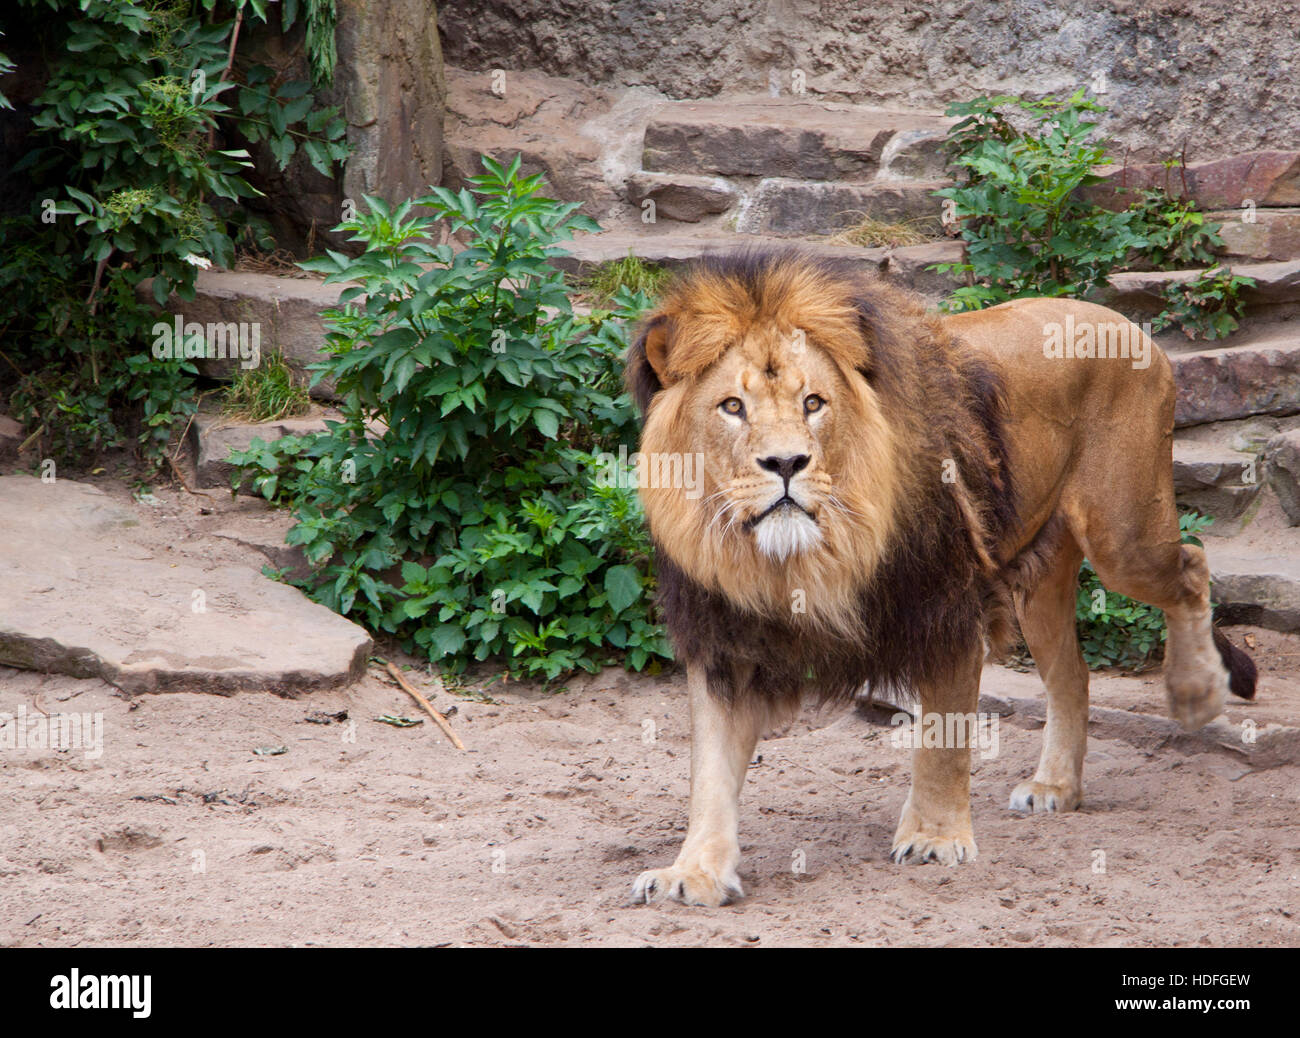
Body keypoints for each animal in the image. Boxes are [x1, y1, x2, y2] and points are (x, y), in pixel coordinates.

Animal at [623, 249, 1256, 907]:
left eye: (814, 403)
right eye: (732, 407)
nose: (786, 463)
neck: (800, 560)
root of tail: (1128, 324)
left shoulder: (948, 609)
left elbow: (943, 741)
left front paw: (933, 837)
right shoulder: (725, 644)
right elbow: (710, 773)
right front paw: (693, 871)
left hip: (1123, 536)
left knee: (1193, 565)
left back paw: (1195, 691)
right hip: (1041, 582)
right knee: (1073, 674)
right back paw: (1056, 787)